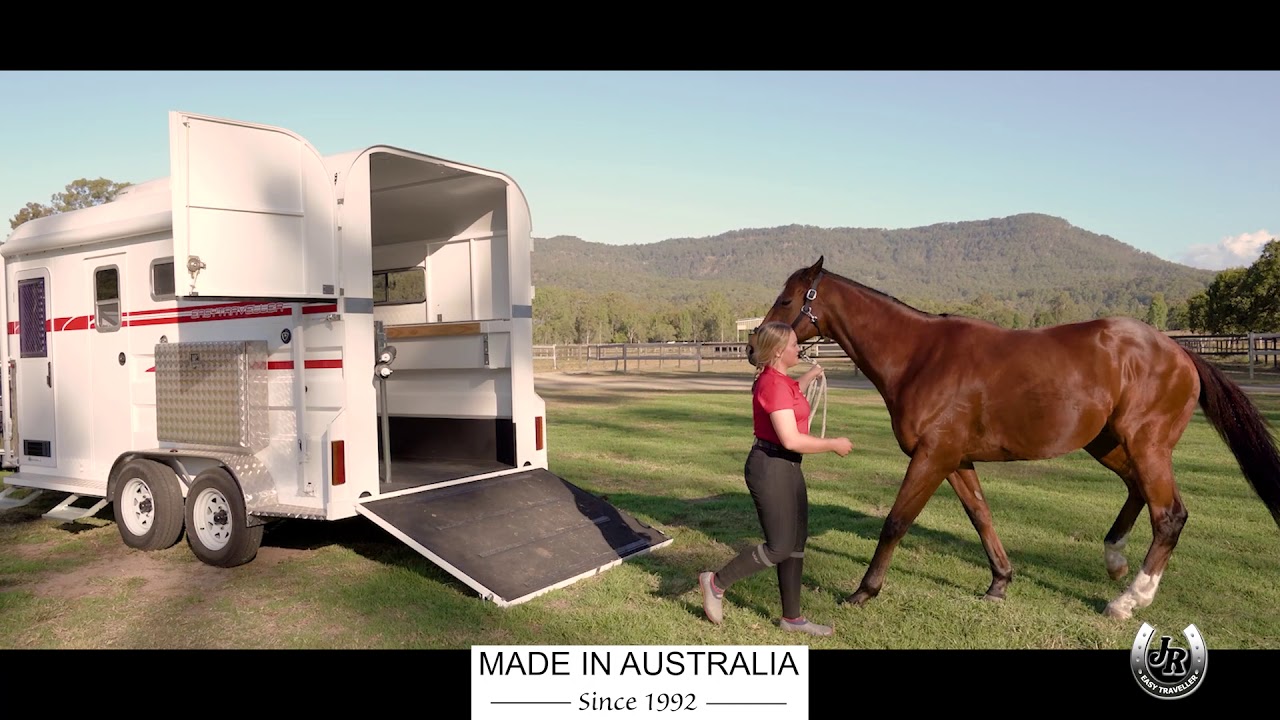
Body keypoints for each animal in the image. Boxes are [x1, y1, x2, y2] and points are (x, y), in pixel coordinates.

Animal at [747, 256, 1280, 619]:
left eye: (788, 300)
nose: (755, 347)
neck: (920, 356)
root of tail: (1180, 352)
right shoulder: (955, 459)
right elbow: (981, 516)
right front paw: (1000, 582)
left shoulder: (932, 456)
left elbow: (896, 521)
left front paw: (863, 591)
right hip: (1108, 444)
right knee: (1140, 494)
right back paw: (1114, 561)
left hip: (1146, 446)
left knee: (1169, 516)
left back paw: (1129, 599)